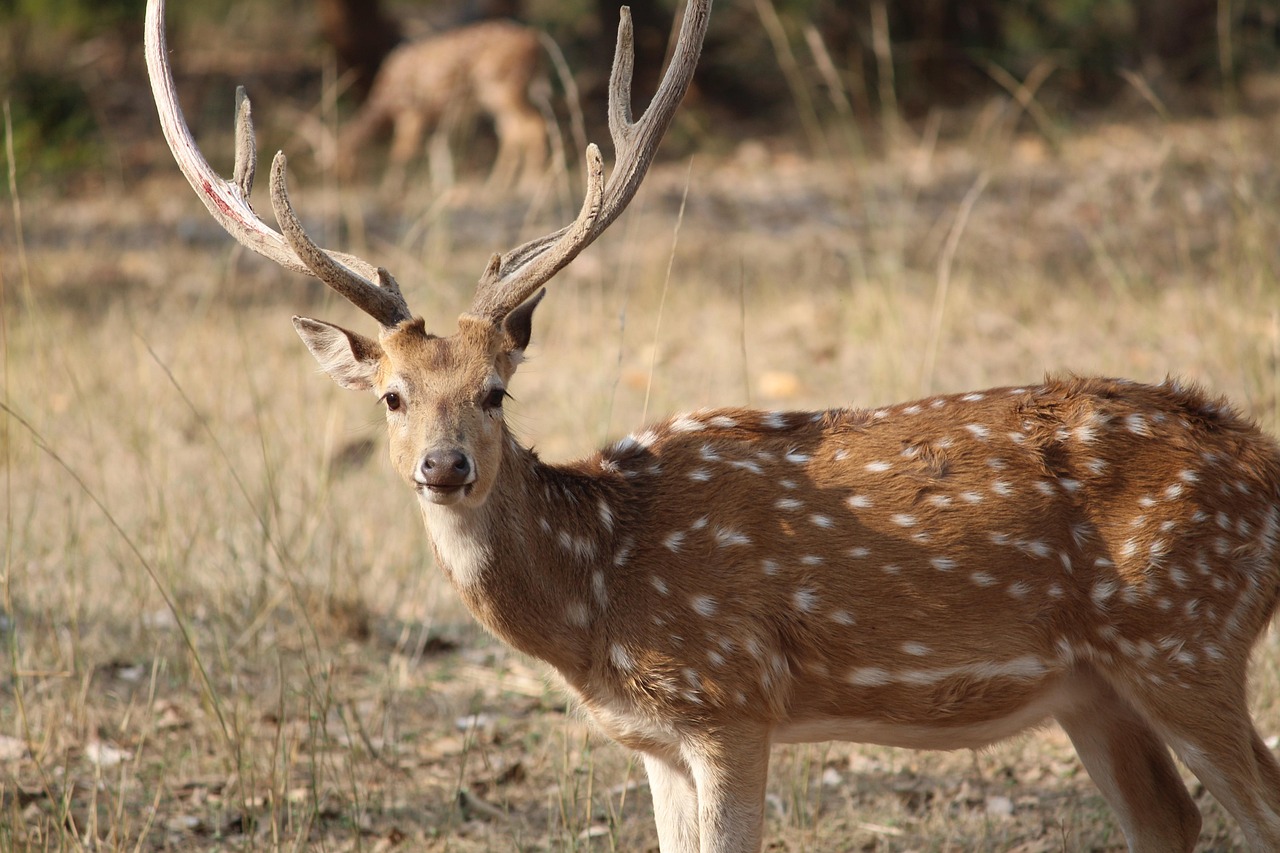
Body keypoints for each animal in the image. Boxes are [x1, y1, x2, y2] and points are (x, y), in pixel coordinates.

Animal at [329, 19, 548, 189]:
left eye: (340, 162)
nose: (342, 183)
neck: (385, 102)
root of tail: (535, 40)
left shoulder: (412, 111)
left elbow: (401, 151)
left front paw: (390, 189)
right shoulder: (433, 116)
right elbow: (435, 147)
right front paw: (439, 185)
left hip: (502, 86)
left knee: (531, 123)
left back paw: (529, 182)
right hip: (496, 94)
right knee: (511, 130)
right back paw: (498, 183)